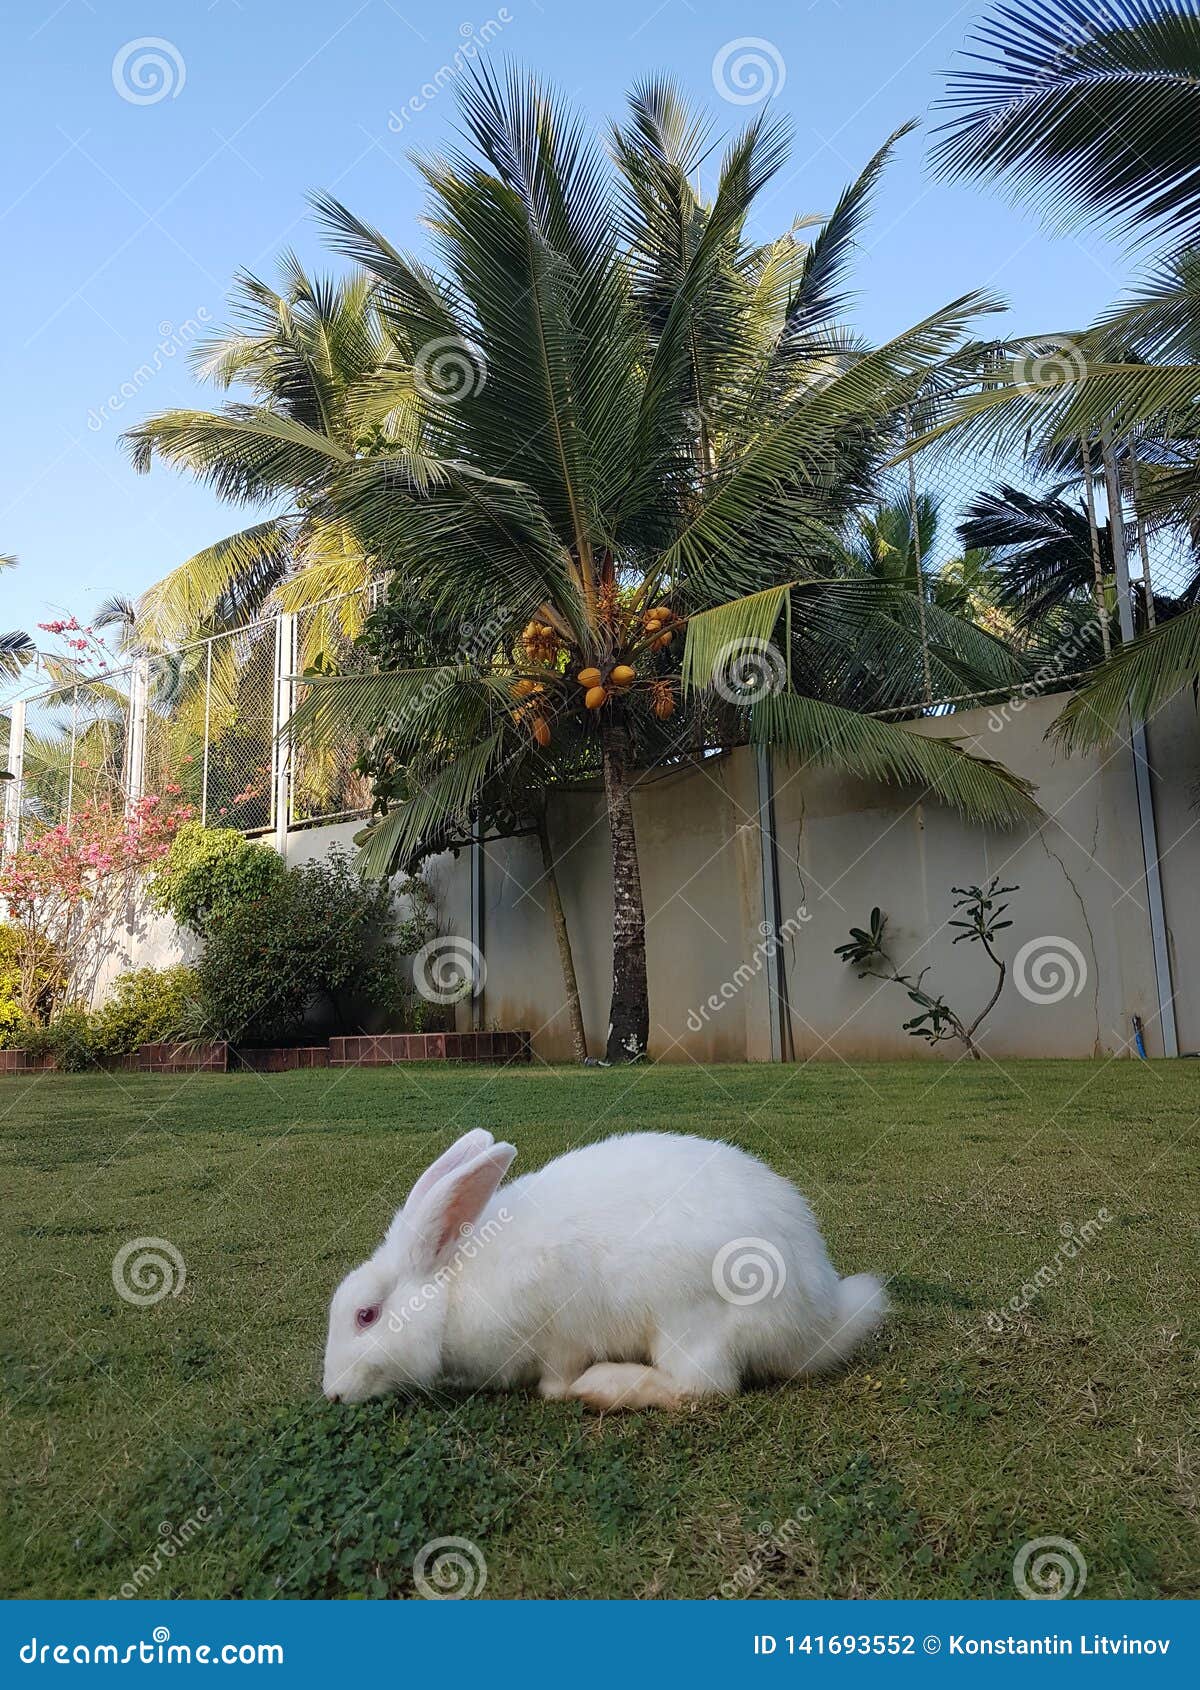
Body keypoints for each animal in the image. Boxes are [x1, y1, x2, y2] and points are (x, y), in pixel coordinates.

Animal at [323, 1127, 886, 1410]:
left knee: (704, 1387)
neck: (451, 1292)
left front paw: (564, 1389)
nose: (333, 1393)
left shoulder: (555, 1330)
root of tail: (817, 1320)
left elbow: (554, 1380)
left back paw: (604, 1386)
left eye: (366, 1316)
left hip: (692, 1321)